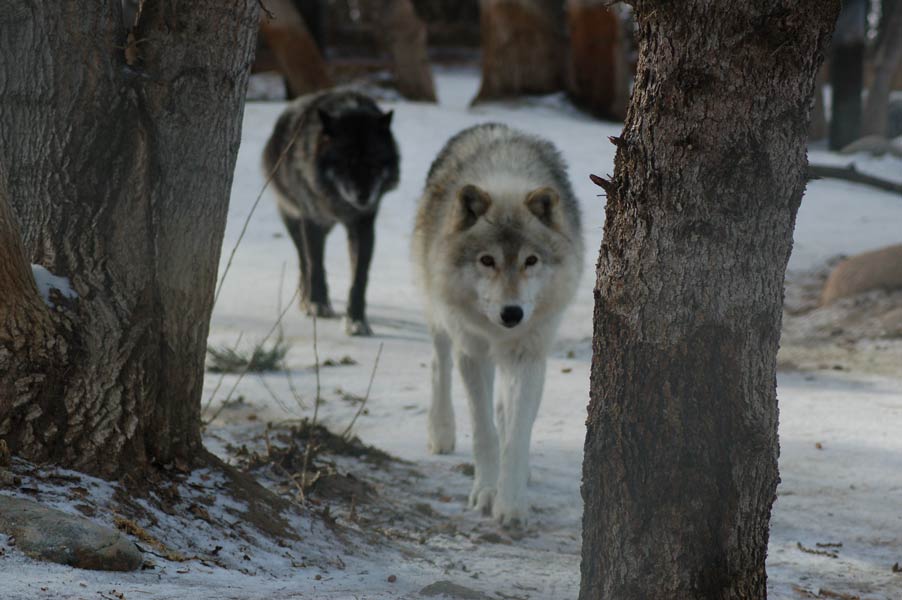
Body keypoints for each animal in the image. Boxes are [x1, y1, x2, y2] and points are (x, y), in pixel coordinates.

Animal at [263, 90, 399, 335]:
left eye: (374, 165)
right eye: (346, 164)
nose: (363, 197)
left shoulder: (363, 226)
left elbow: (359, 277)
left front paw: (356, 319)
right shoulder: (312, 222)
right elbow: (315, 264)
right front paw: (317, 304)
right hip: (293, 219)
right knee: (303, 260)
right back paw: (305, 297)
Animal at [413, 123, 584, 527]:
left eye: (531, 260)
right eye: (487, 260)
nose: (512, 314)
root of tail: (494, 125)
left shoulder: (528, 354)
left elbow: (517, 433)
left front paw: (511, 503)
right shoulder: (473, 353)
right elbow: (483, 432)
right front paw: (486, 492)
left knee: (506, 410)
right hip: (438, 311)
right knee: (439, 362)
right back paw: (440, 430)